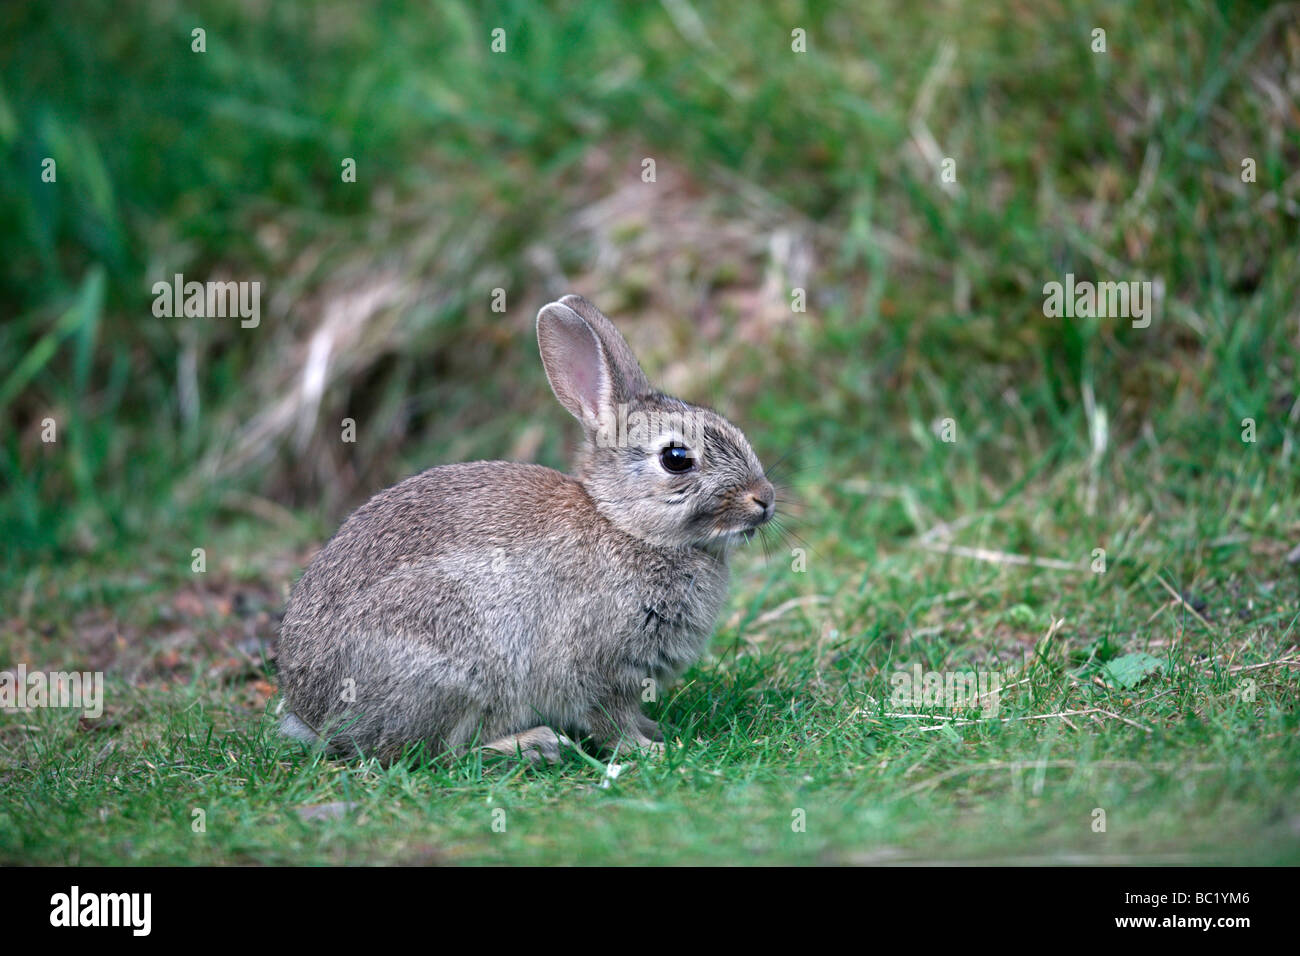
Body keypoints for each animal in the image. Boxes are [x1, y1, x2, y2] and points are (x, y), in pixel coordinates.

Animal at [274, 294, 775, 763]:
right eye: (676, 458)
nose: (765, 499)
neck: (625, 526)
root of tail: (312, 715)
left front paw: (657, 732)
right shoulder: (596, 665)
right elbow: (609, 718)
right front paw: (650, 750)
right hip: (451, 669)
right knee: (422, 752)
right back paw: (533, 745)